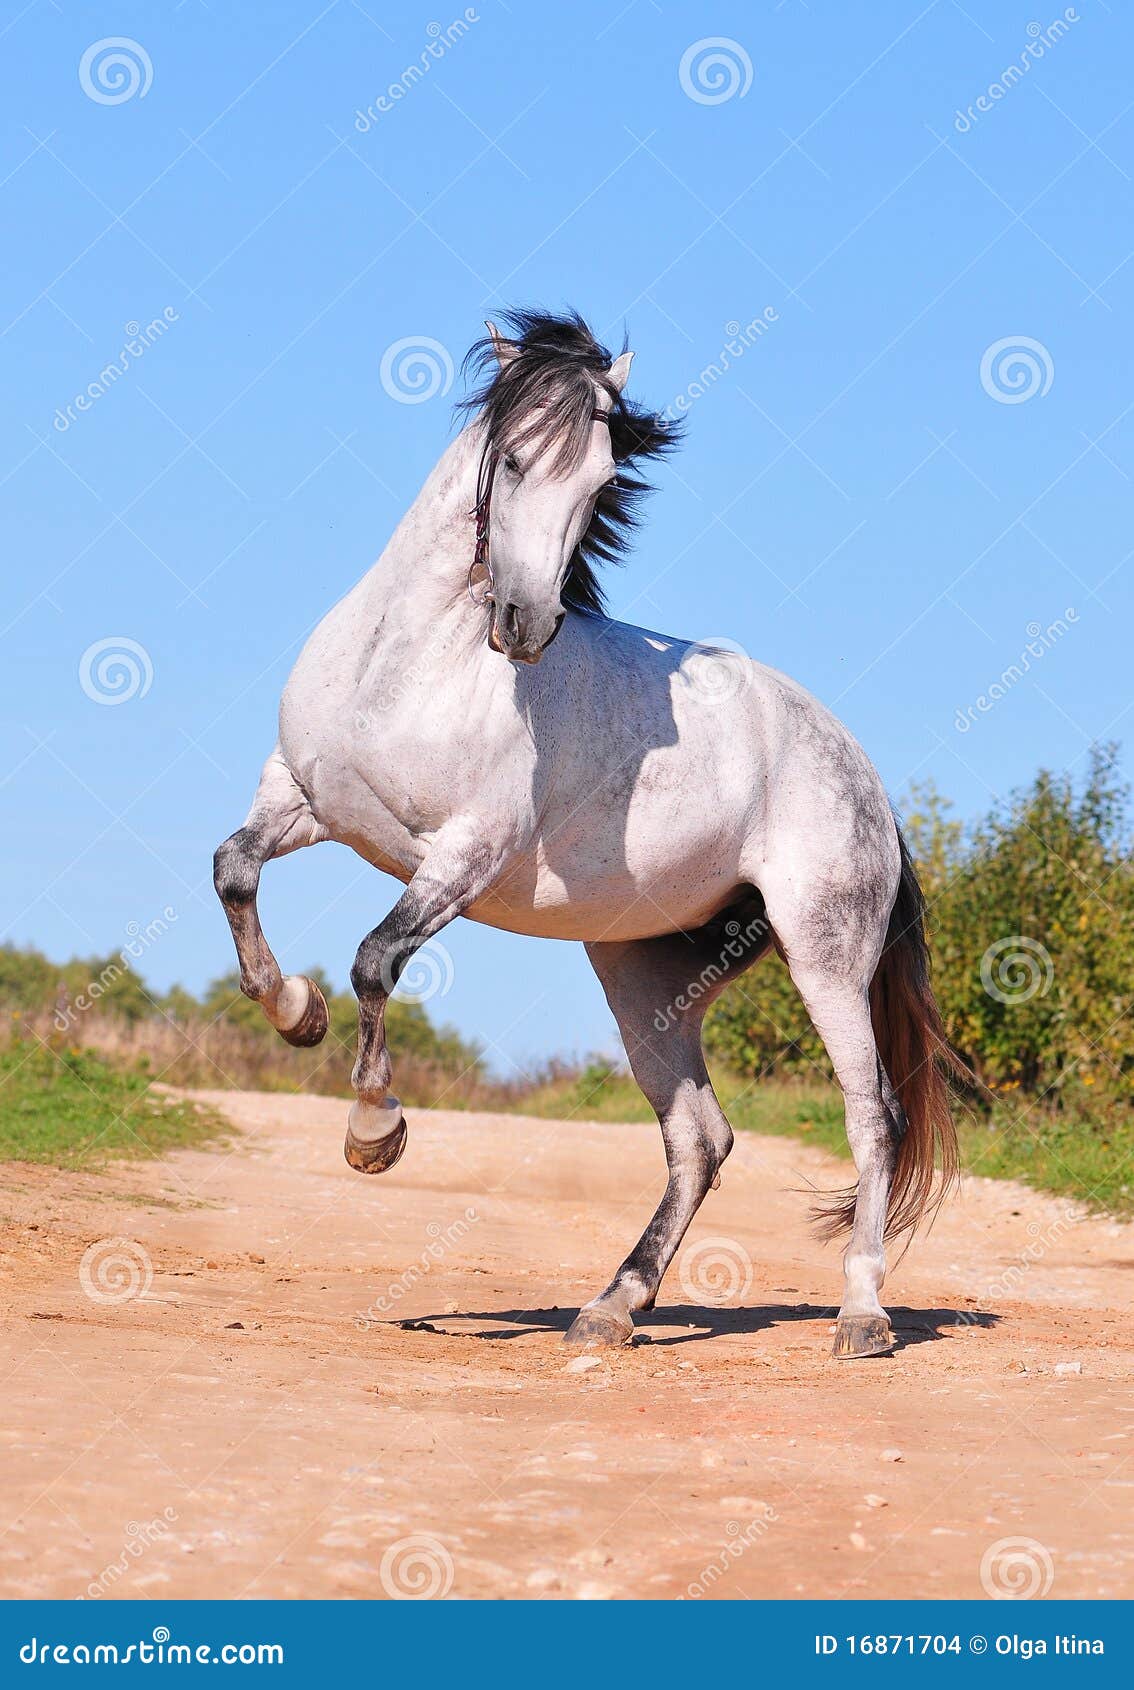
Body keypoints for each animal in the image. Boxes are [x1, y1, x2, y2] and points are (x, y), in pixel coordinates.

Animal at [213, 307, 960, 1361]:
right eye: (514, 459)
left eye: (605, 481)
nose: (527, 626)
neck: (406, 667)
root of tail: (863, 774)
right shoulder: (300, 802)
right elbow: (234, 870)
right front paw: (294, 1013)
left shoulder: (463, 857)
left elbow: (374, 959)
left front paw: (374, 1132)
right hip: (646, 975)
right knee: (700, 1138)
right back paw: (611, 1308)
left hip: (825, 956)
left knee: (873, 1116)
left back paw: (862, 1315)